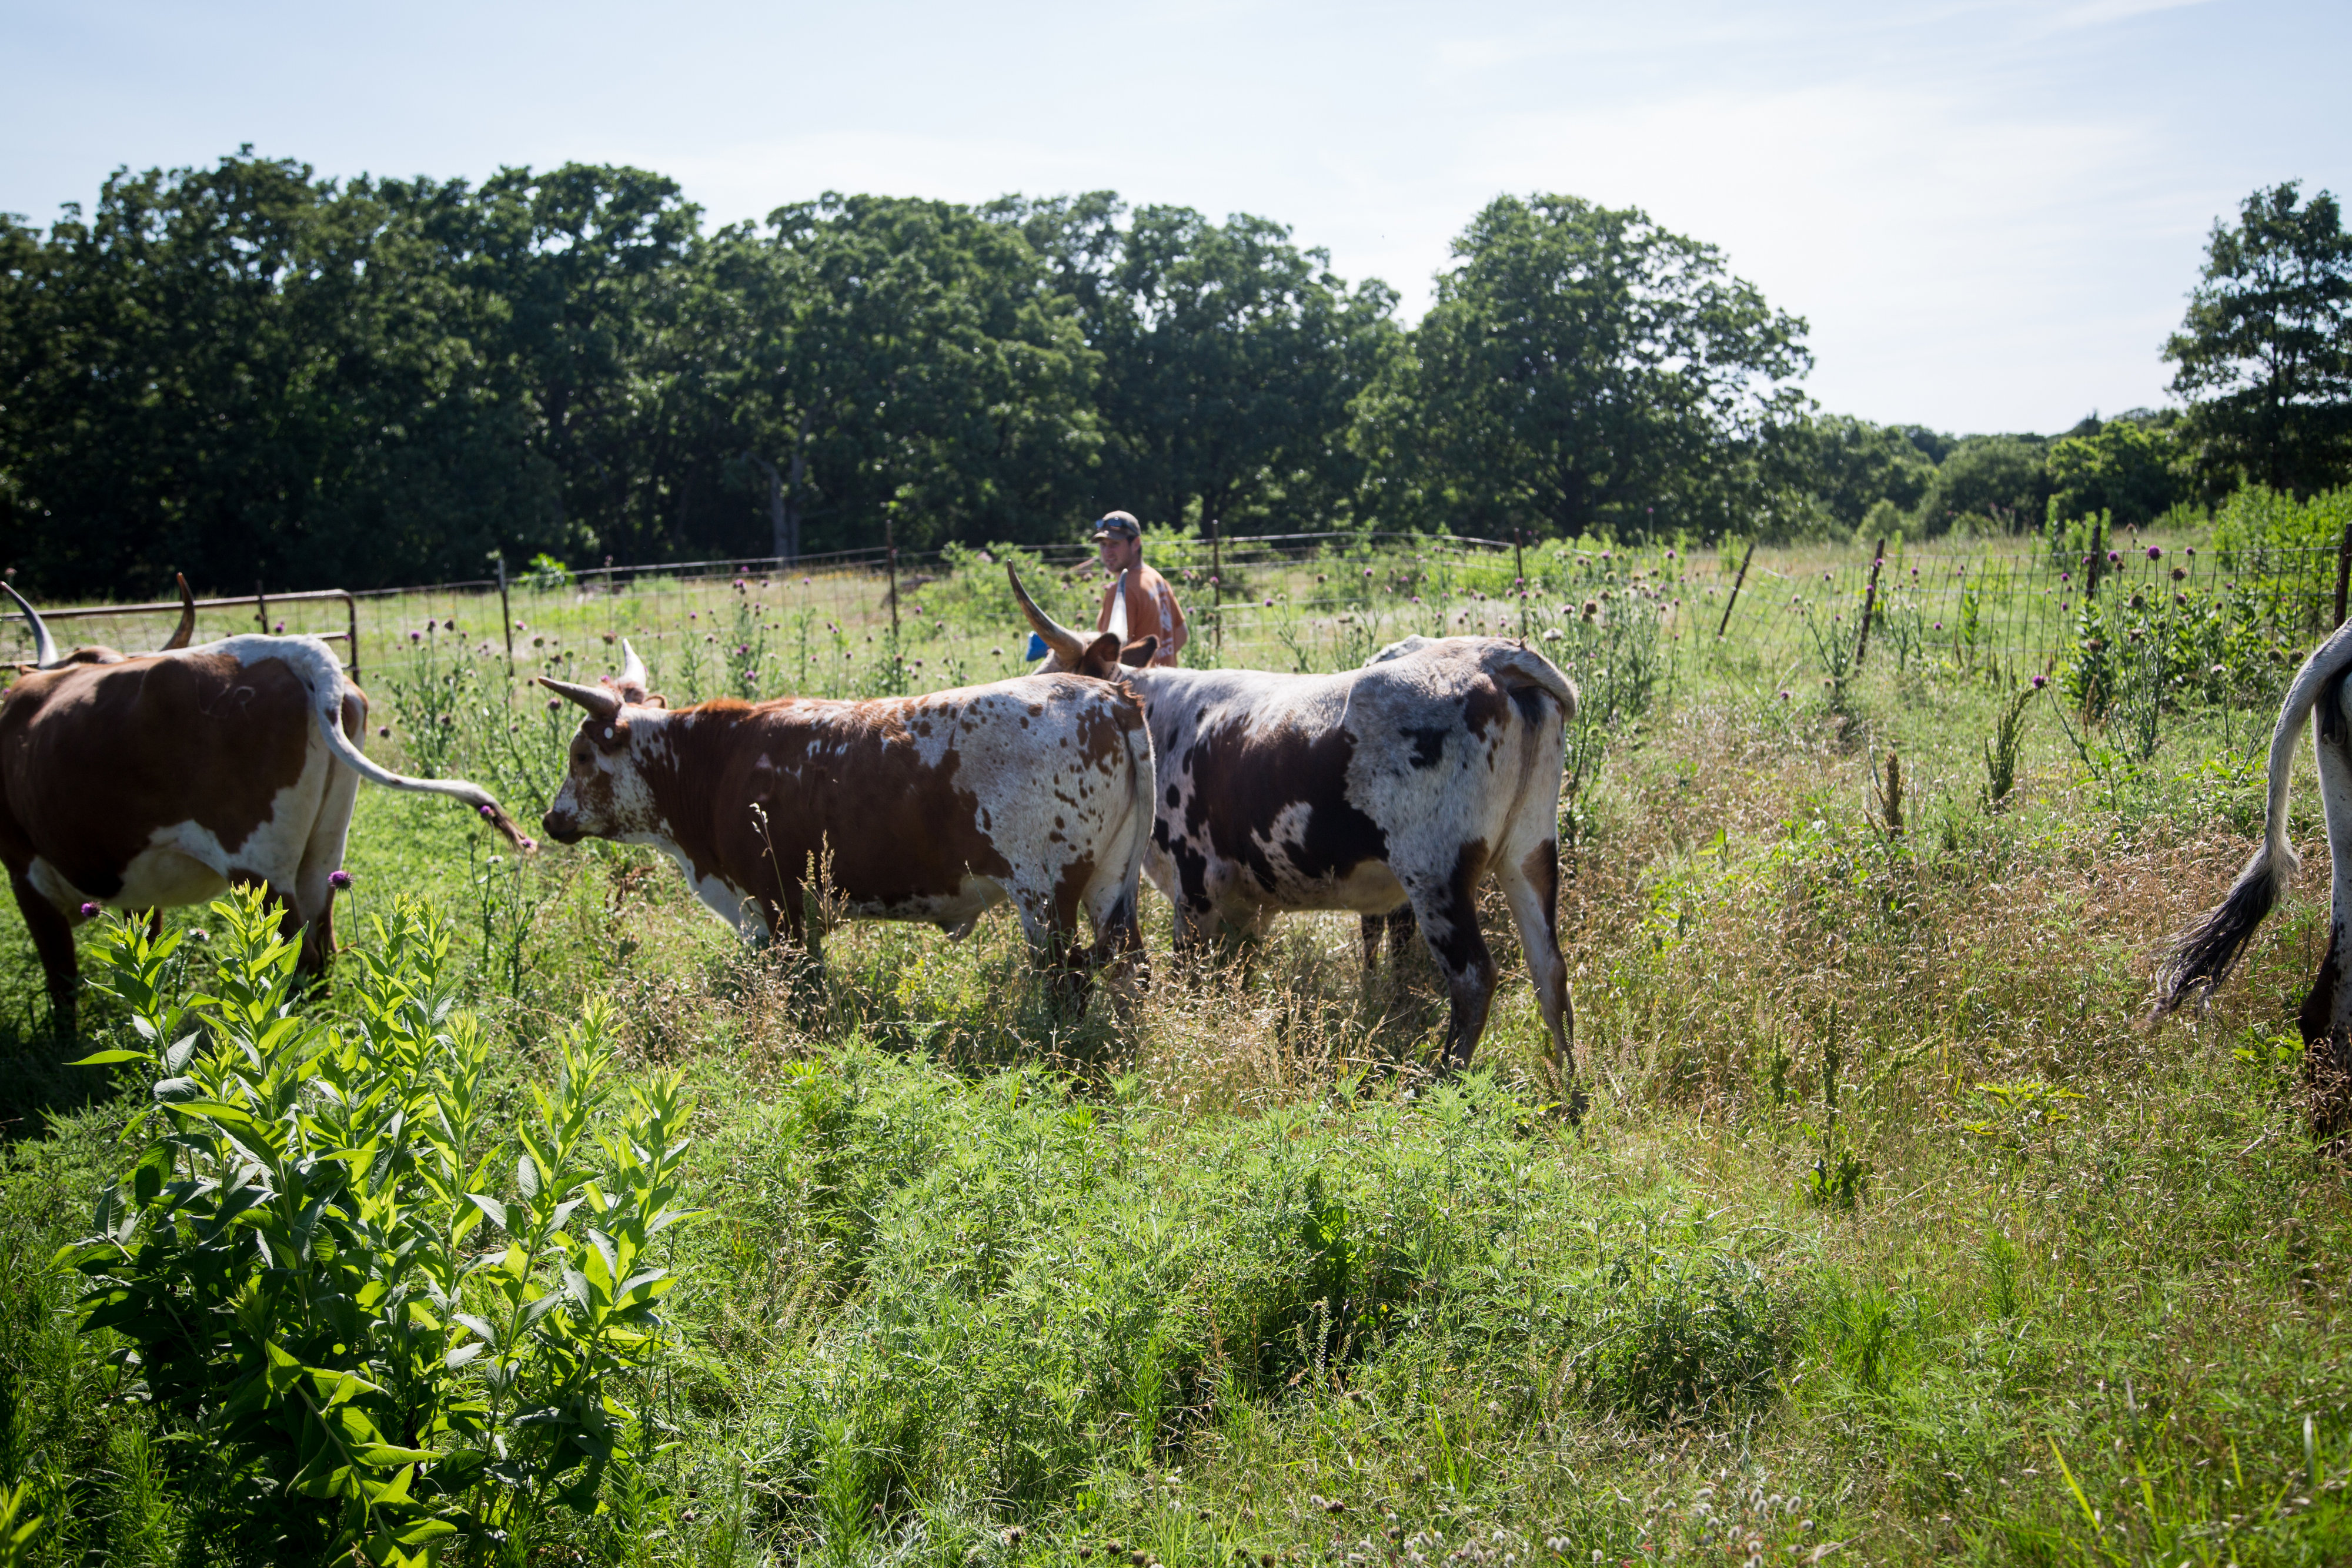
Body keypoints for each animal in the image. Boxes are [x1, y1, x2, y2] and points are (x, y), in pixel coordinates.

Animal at [1, 585, 531, 1029]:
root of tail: (298, 650)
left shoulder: (24, 867)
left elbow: (62, 977)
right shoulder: (137, 887)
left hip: (259, 866)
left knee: (303, 958)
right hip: (322, 852)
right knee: (325, 946)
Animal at [536, 640, 1157, 1004]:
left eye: (582, 756)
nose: (550, 818)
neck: (716, 762)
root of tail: (1110, 696)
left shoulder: (778, 905)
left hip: (1046, 898)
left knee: (1065, 980)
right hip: (1111, 885)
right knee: (1132, 964)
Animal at [1008, 565, 1578, 1080]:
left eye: (1052, 674)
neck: (1160, 720)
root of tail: (1494, 657)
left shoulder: (1195, 889)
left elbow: (1194, 979)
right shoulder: (1247, 905)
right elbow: (1235, 979)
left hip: (1435, 873)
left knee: (1474, 978)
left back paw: (1440, 1082)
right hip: (1531, 852)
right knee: (1549, 968)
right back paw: (1570, 1087)